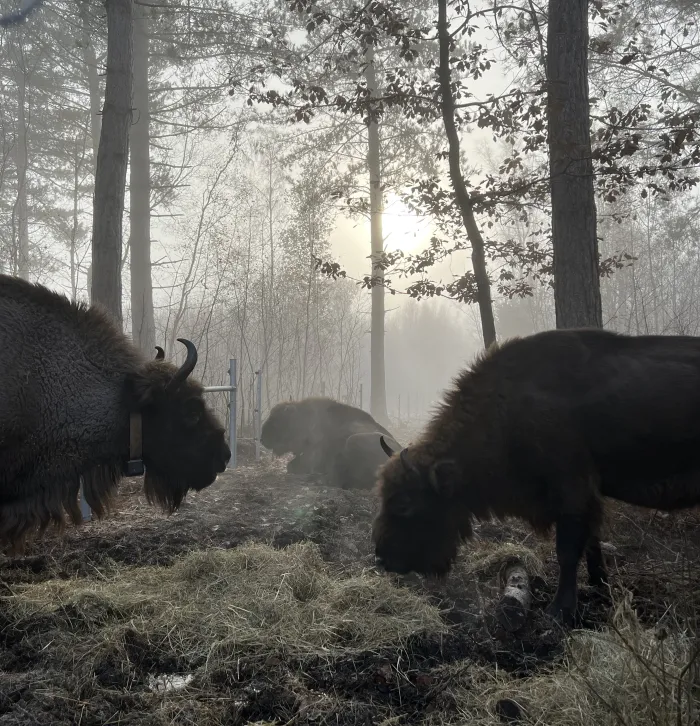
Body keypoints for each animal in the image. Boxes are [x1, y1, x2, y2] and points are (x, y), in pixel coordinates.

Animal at [373, 328, 700, 625]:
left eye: (404, 504)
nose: (383, 557)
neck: (508, 407)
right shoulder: (587, 501)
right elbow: (592, 543)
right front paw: (598, 588)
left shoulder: (572, 492)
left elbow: (567, 551)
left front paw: (559, 611)